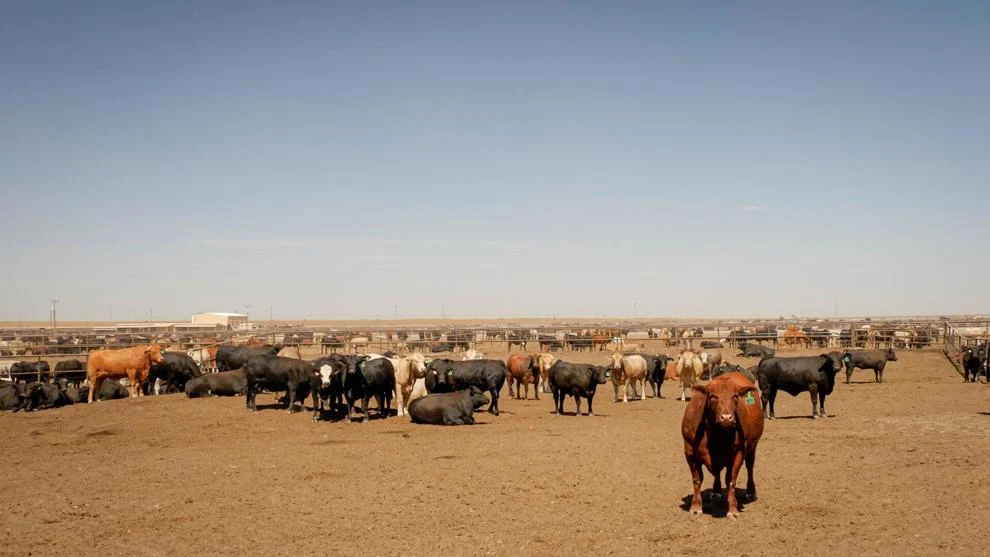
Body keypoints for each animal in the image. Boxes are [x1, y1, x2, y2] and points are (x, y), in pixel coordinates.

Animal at [682, 372, 764, 518]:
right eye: (713, 396)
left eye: (735, 396)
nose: (726, 418)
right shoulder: (689, 452)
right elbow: (697, 479)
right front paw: (696, 507)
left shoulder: (739, 453)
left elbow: (731, 481)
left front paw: (733, 509)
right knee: (717, 473)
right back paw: (716, 491)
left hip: (752, 447)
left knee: (750, 467)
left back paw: (750, 491)